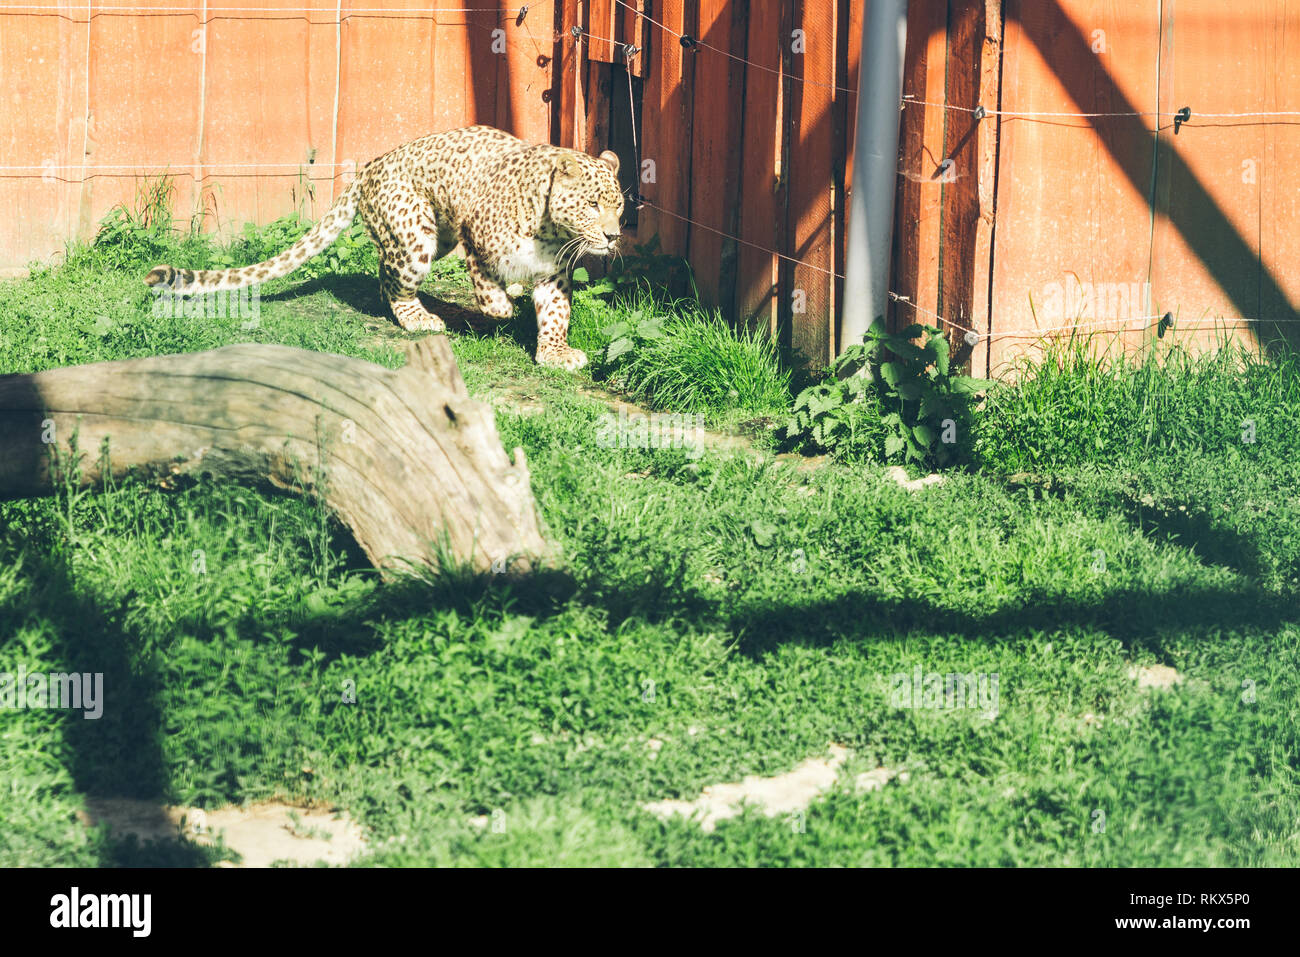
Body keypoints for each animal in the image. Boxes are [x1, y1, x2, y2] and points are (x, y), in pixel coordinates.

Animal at [144, 125, 625, 370]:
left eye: (618, 206)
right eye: (592, 204)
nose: (613, 236)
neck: (550, 229)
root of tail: (370, 165)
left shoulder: (554, 272)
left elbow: (557, 315)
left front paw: (555, 353)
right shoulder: (472, 232)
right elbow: (487, 283)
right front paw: (502, 307)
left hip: (435, 234)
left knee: (383, 271)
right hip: (417, 235)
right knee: (394, 278)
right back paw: (419, 319)